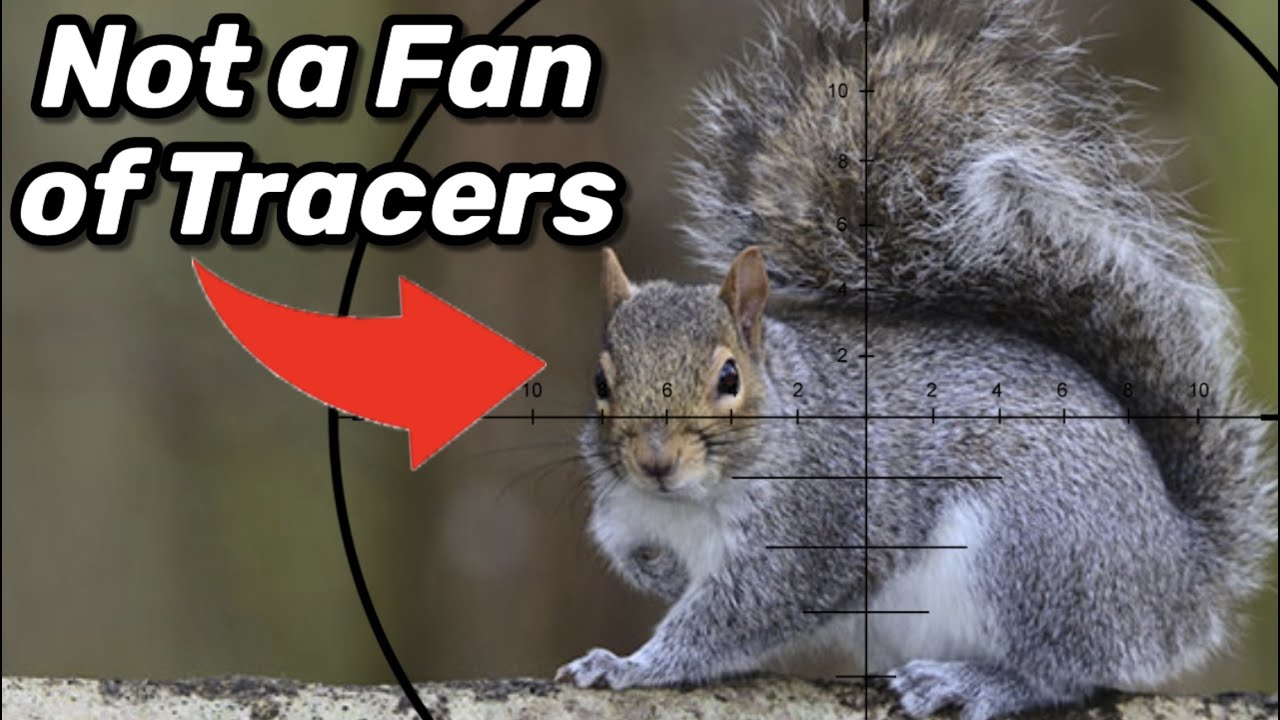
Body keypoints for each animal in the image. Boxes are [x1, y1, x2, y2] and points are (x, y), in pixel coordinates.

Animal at [554, 1, 1277, 719]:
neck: (685, 502)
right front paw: (655, 572)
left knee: (1060, 670)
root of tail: (1178, 580)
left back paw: (974, 683)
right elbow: (640, 558)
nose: (655, 462)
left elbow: (737, 616)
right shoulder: (625, 512)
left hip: (1029, 553)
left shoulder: (811, 531)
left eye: (729, 377)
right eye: (600, 380)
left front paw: (630, 666)